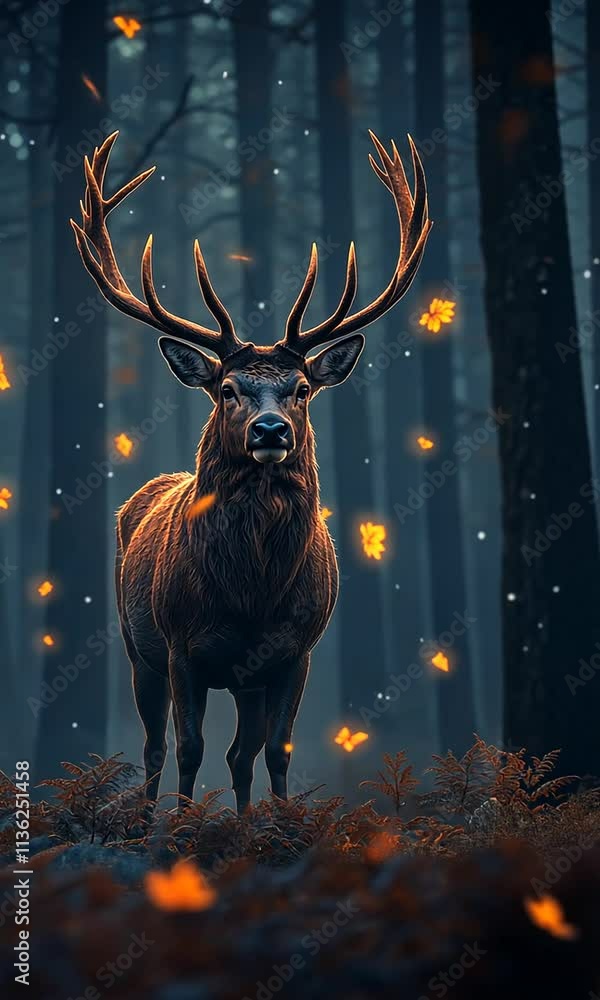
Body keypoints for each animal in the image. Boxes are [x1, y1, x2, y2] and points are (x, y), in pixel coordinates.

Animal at [71, 130, 431, 812]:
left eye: (301, 389)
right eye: (228, 388)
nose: (270, 432)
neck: (250, 592)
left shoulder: (295, 651)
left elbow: (274, 752)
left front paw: (277, 825)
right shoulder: (181, 645)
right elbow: (189, 750)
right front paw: (185, 827)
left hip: (244, 679)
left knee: (242, 754)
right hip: (136, 648)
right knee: (154, 748)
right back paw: (144, 820)